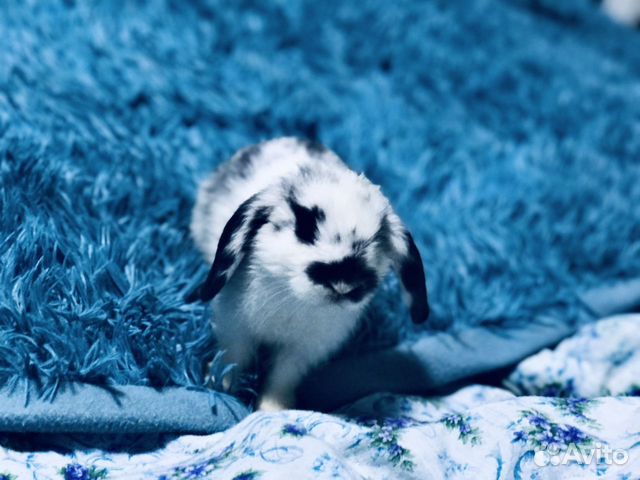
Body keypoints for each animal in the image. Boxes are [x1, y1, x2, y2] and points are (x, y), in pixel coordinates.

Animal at [189, 137, 430, 411]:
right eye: (304, 227)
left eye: (377, 239)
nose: (343, 283)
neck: (296, 300)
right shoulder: (234, 327)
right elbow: (232, 357)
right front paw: (219, 386)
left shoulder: (303, 351)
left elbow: (282, 376)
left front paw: (273, 408)